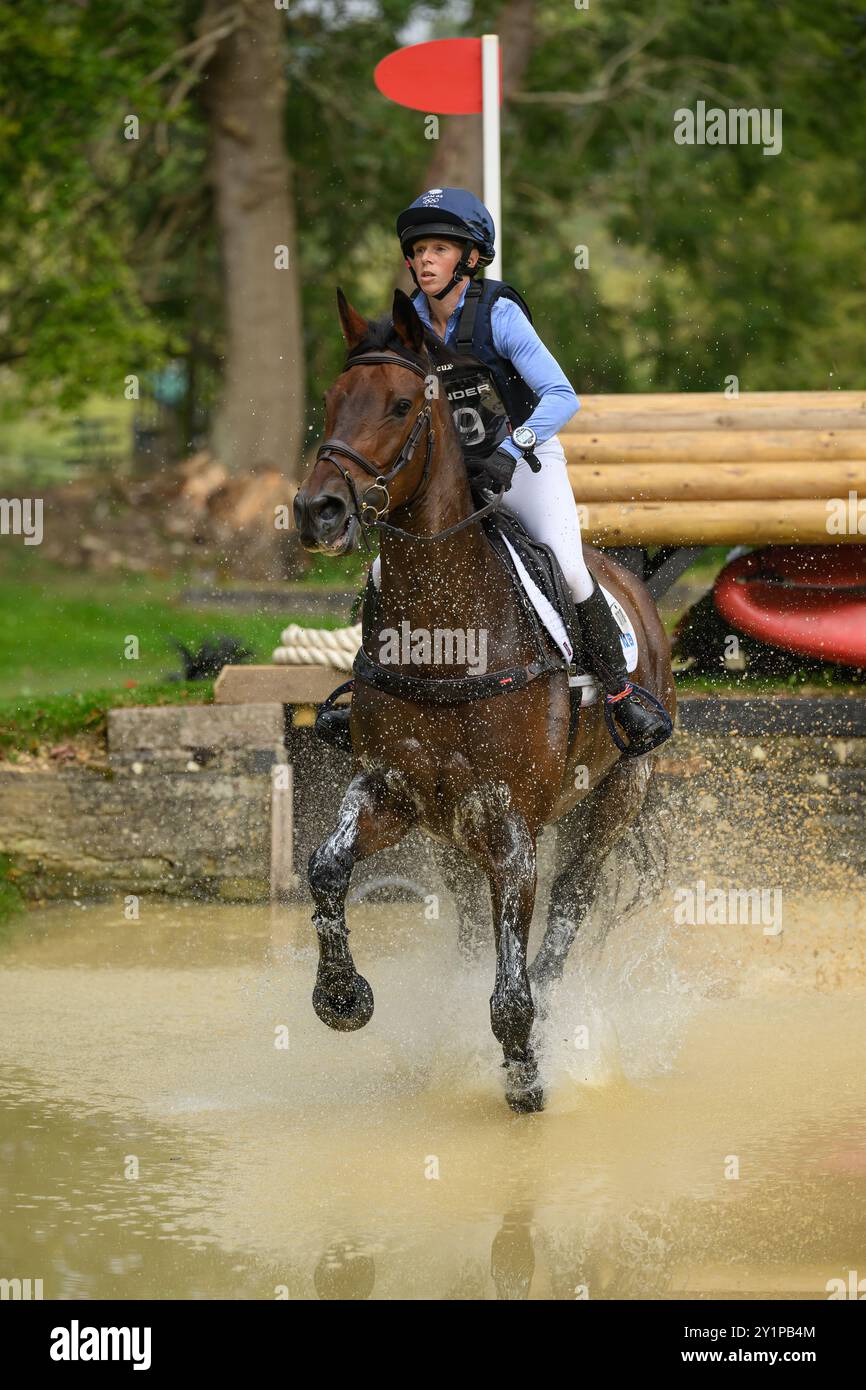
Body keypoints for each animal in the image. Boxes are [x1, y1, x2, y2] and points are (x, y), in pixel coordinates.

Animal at [292, 286, 676, 1113]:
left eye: (401, 404)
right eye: (333, 400)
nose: (319, 511)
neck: (447, 641)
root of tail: (630, 580)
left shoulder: (509, 825)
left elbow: (512, 983)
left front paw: (525, 1074)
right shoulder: (392, 791)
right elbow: (327, 865)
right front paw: (341, 997)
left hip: (618, 793)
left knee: (567, 911)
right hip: (452, 837)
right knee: (473, 923)